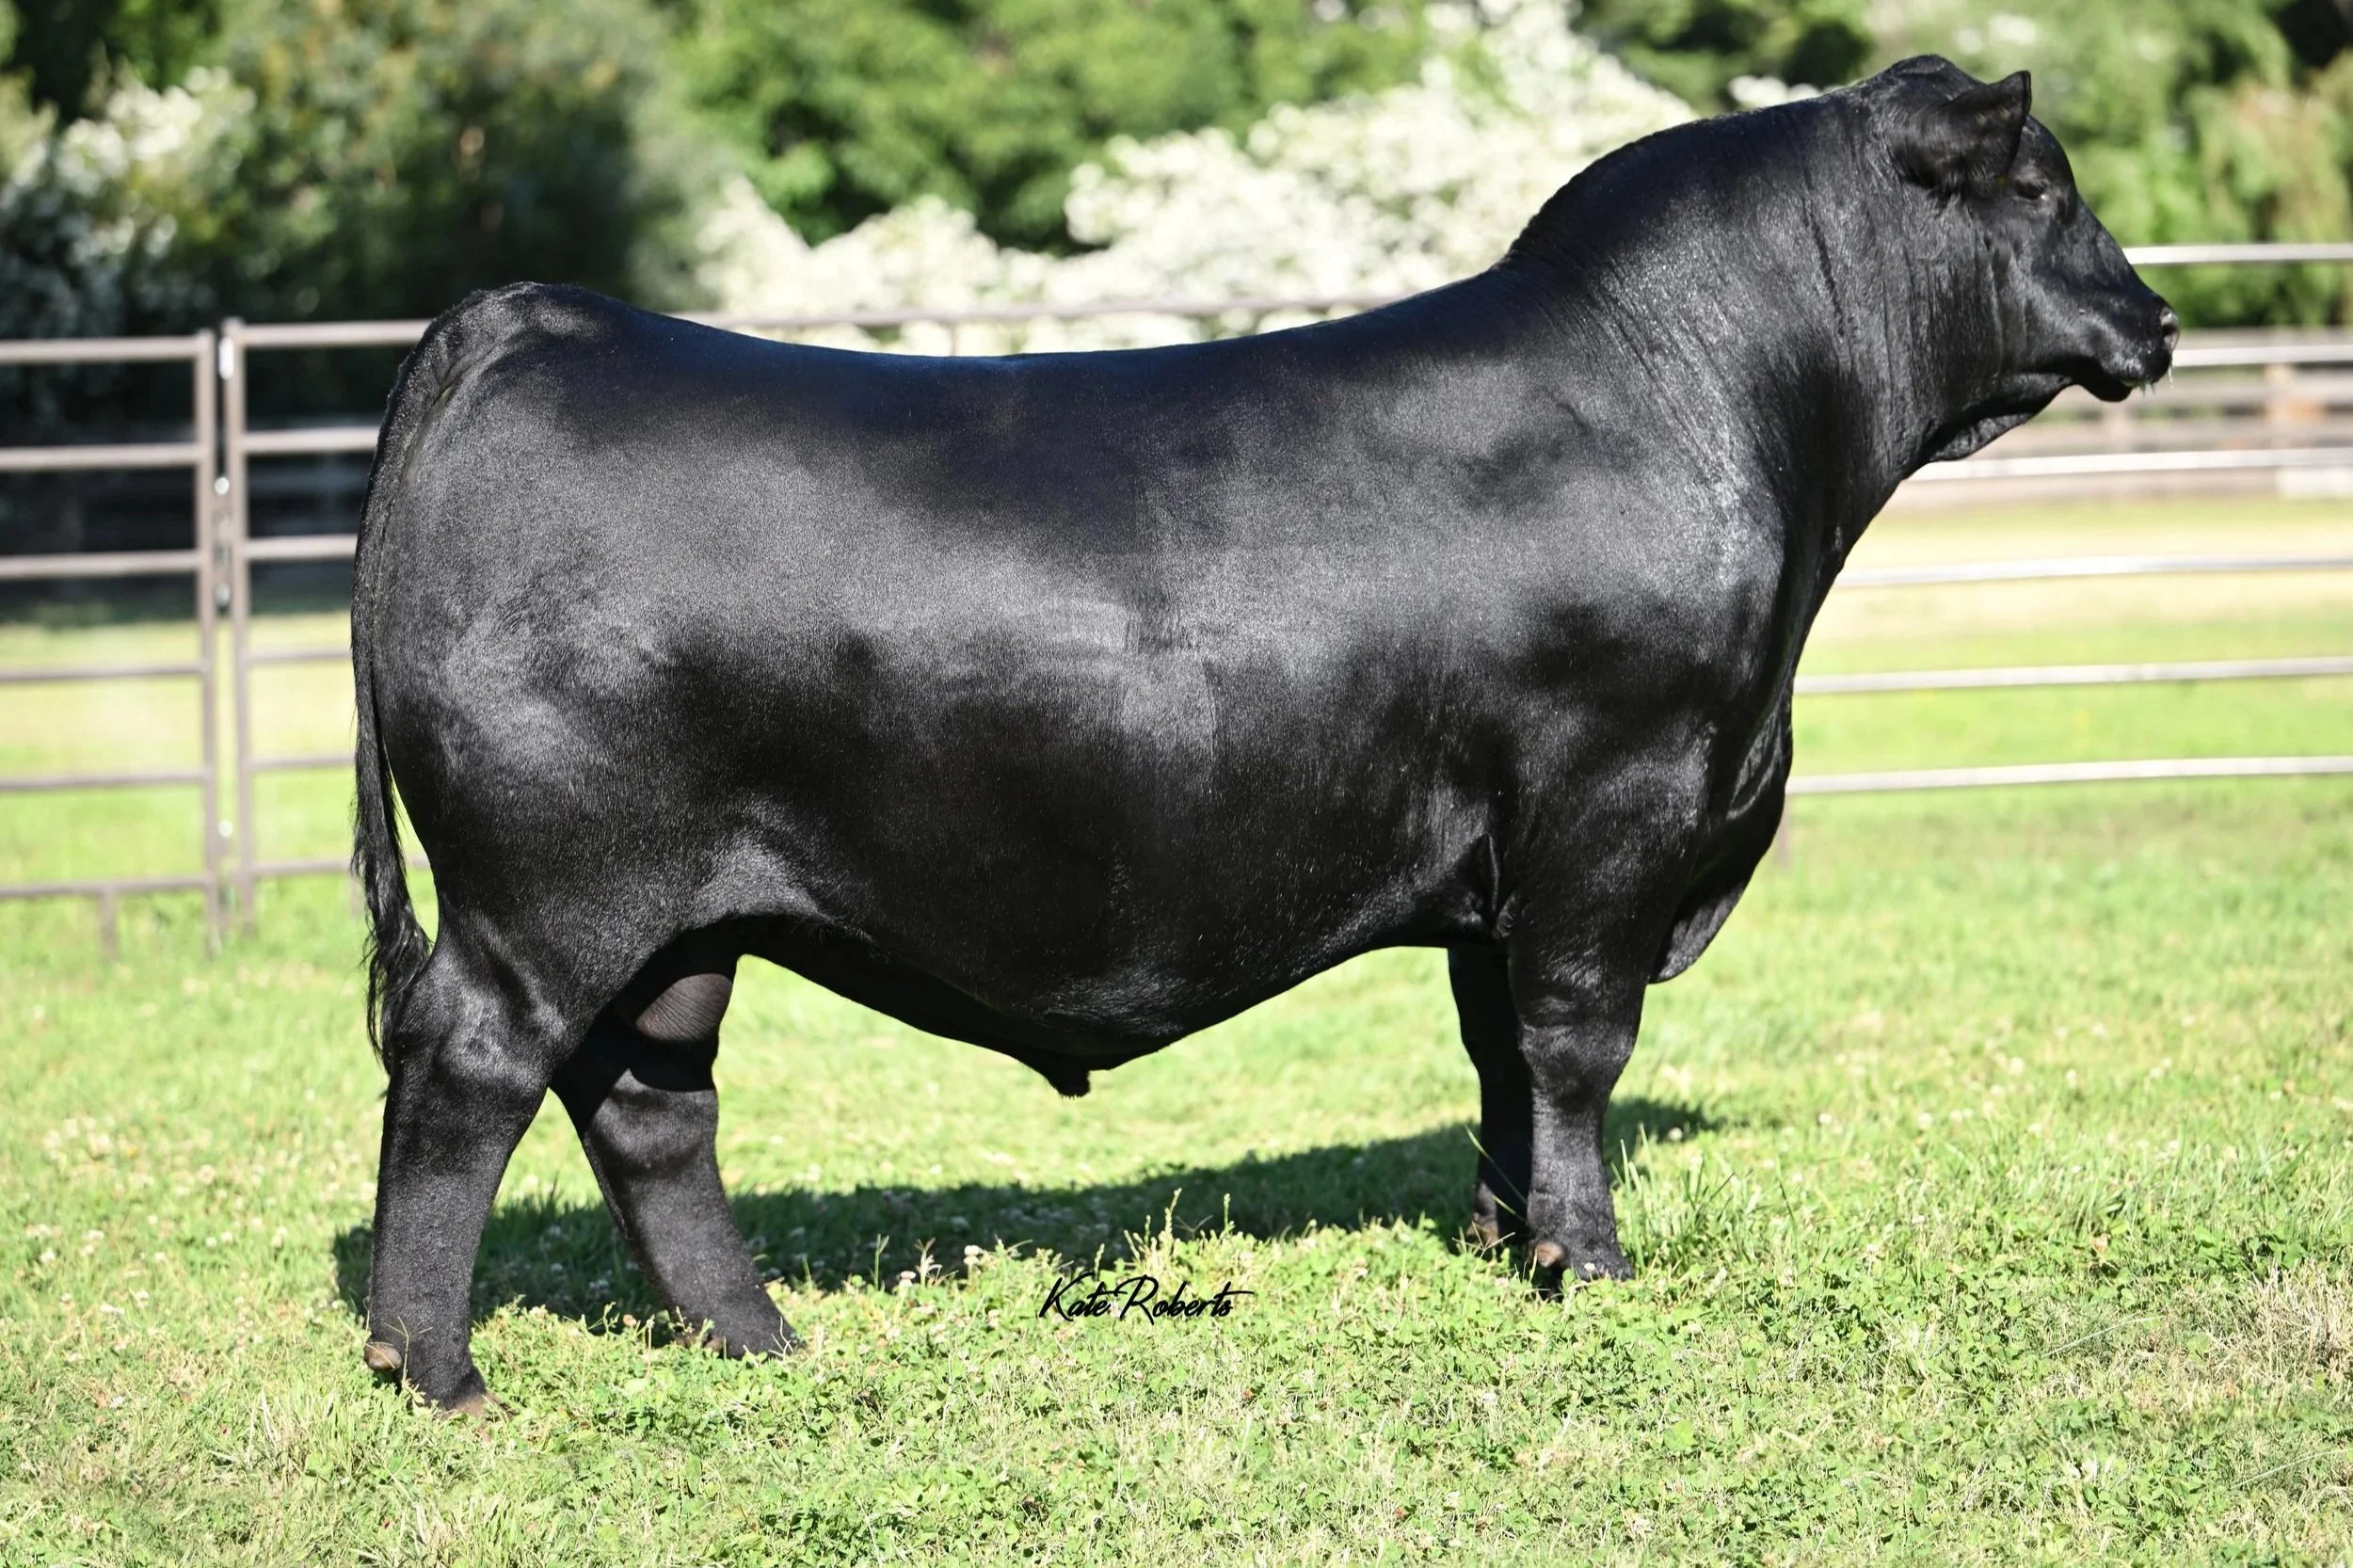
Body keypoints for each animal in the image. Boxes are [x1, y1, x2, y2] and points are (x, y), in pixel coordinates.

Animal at [349, 56, 2175, 1410]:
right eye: (2042, 189)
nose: (2155, 322)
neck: (1714, 413)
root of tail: (542, 320)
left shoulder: (1503, 865)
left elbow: (1501, 1057)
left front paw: (1510, 1242)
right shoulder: (1617, 807)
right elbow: (1578, 1043)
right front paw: (1591, 1262)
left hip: (684, 916)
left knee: (651, 1104)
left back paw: (757, 1339)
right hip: (551, 886)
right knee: (471, 1066)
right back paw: (434, 1370)